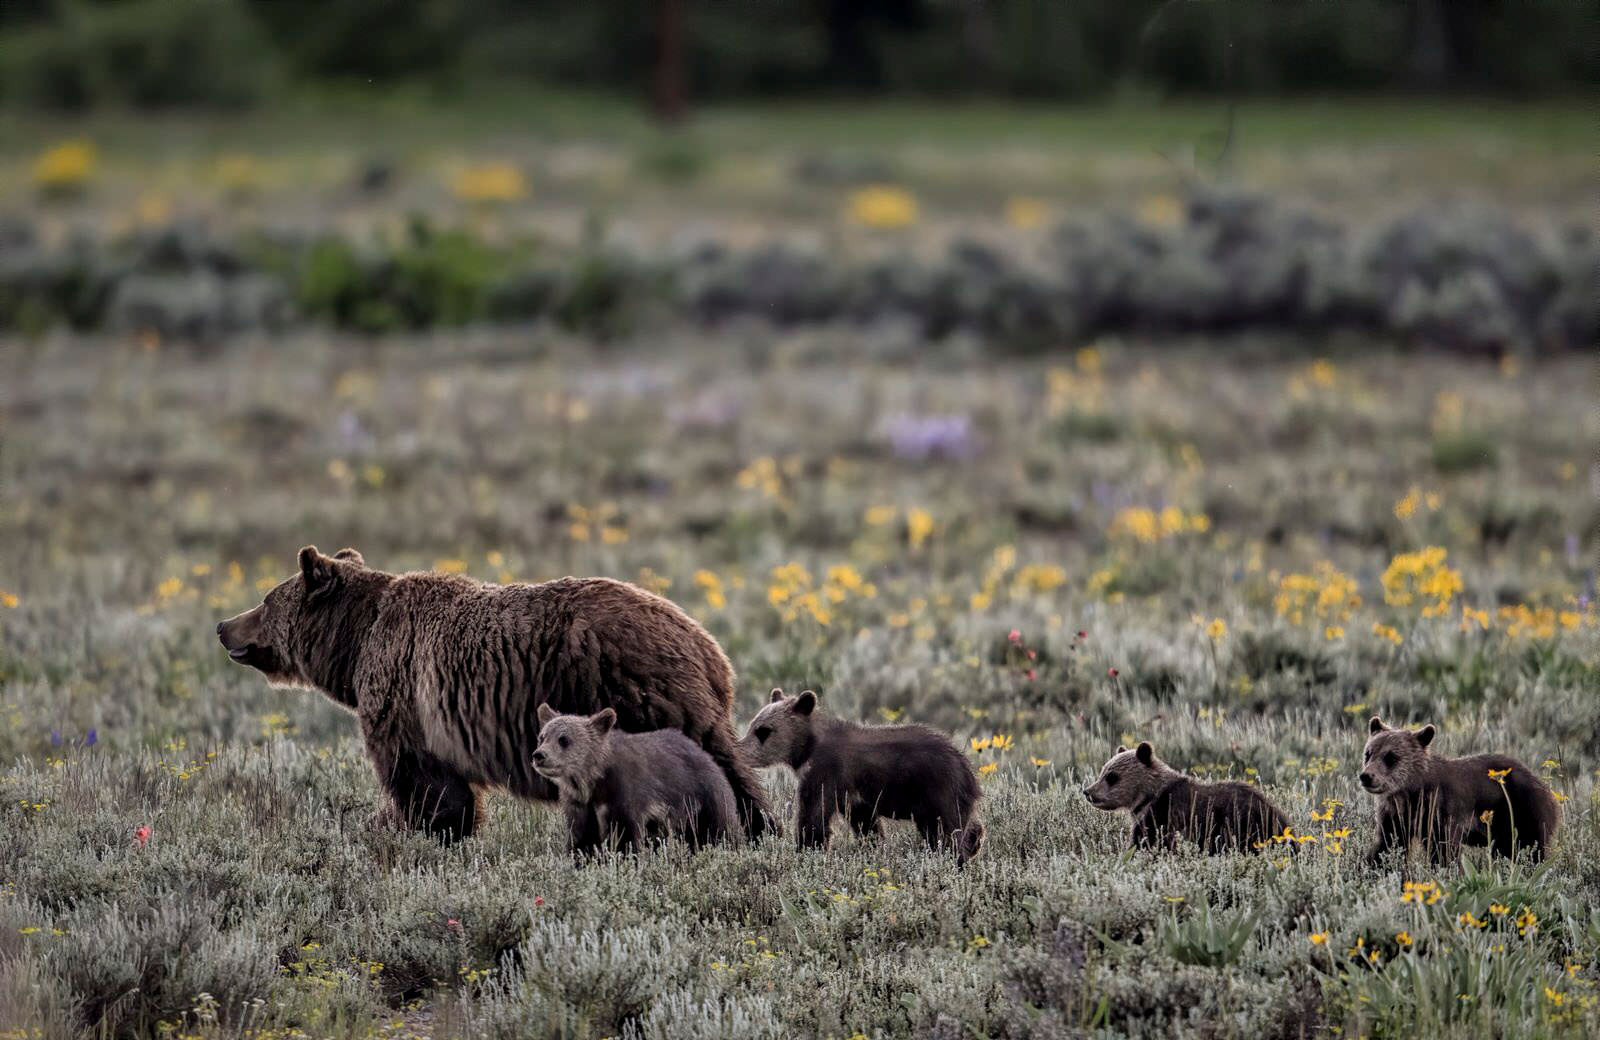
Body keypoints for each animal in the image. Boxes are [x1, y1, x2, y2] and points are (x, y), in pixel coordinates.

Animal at [532, 704, 740, 854]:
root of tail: (709, 758)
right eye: (542, 737)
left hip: (705, 799)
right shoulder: (580, 806)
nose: (539, 755)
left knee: (722, 830)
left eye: (564, 739)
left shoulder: (624, 796)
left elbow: (626, 838)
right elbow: (581, 840)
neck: (592, 781)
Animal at [739, 688, 984, 864]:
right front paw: (872, 849)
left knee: (948, 832)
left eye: (764, 730)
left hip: (940, 790)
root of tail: (968, 771)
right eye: (752, 724)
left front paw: (806, 850)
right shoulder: (855, 796)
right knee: (965, 827)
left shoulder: (827, 772)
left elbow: (814, 816)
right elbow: (866, 825)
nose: (741, 749)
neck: (808, 749)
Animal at [1082, 742, 1290, 854]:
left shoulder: (1162, 814)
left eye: (1112, 776)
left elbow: (1146, 842)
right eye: (1102, 770)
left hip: (1244, 825)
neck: (1148, 797)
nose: (1088, 791)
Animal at [1360, 716, 1559, 866]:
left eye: (1390, 757)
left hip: (1523, 812)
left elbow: (1444, 850)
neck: (1409, 793)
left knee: (1531, 847)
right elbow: (1387, 846)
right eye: (1368, 753)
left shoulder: (1440, 810)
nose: (1366, 776)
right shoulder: (1394, 815)